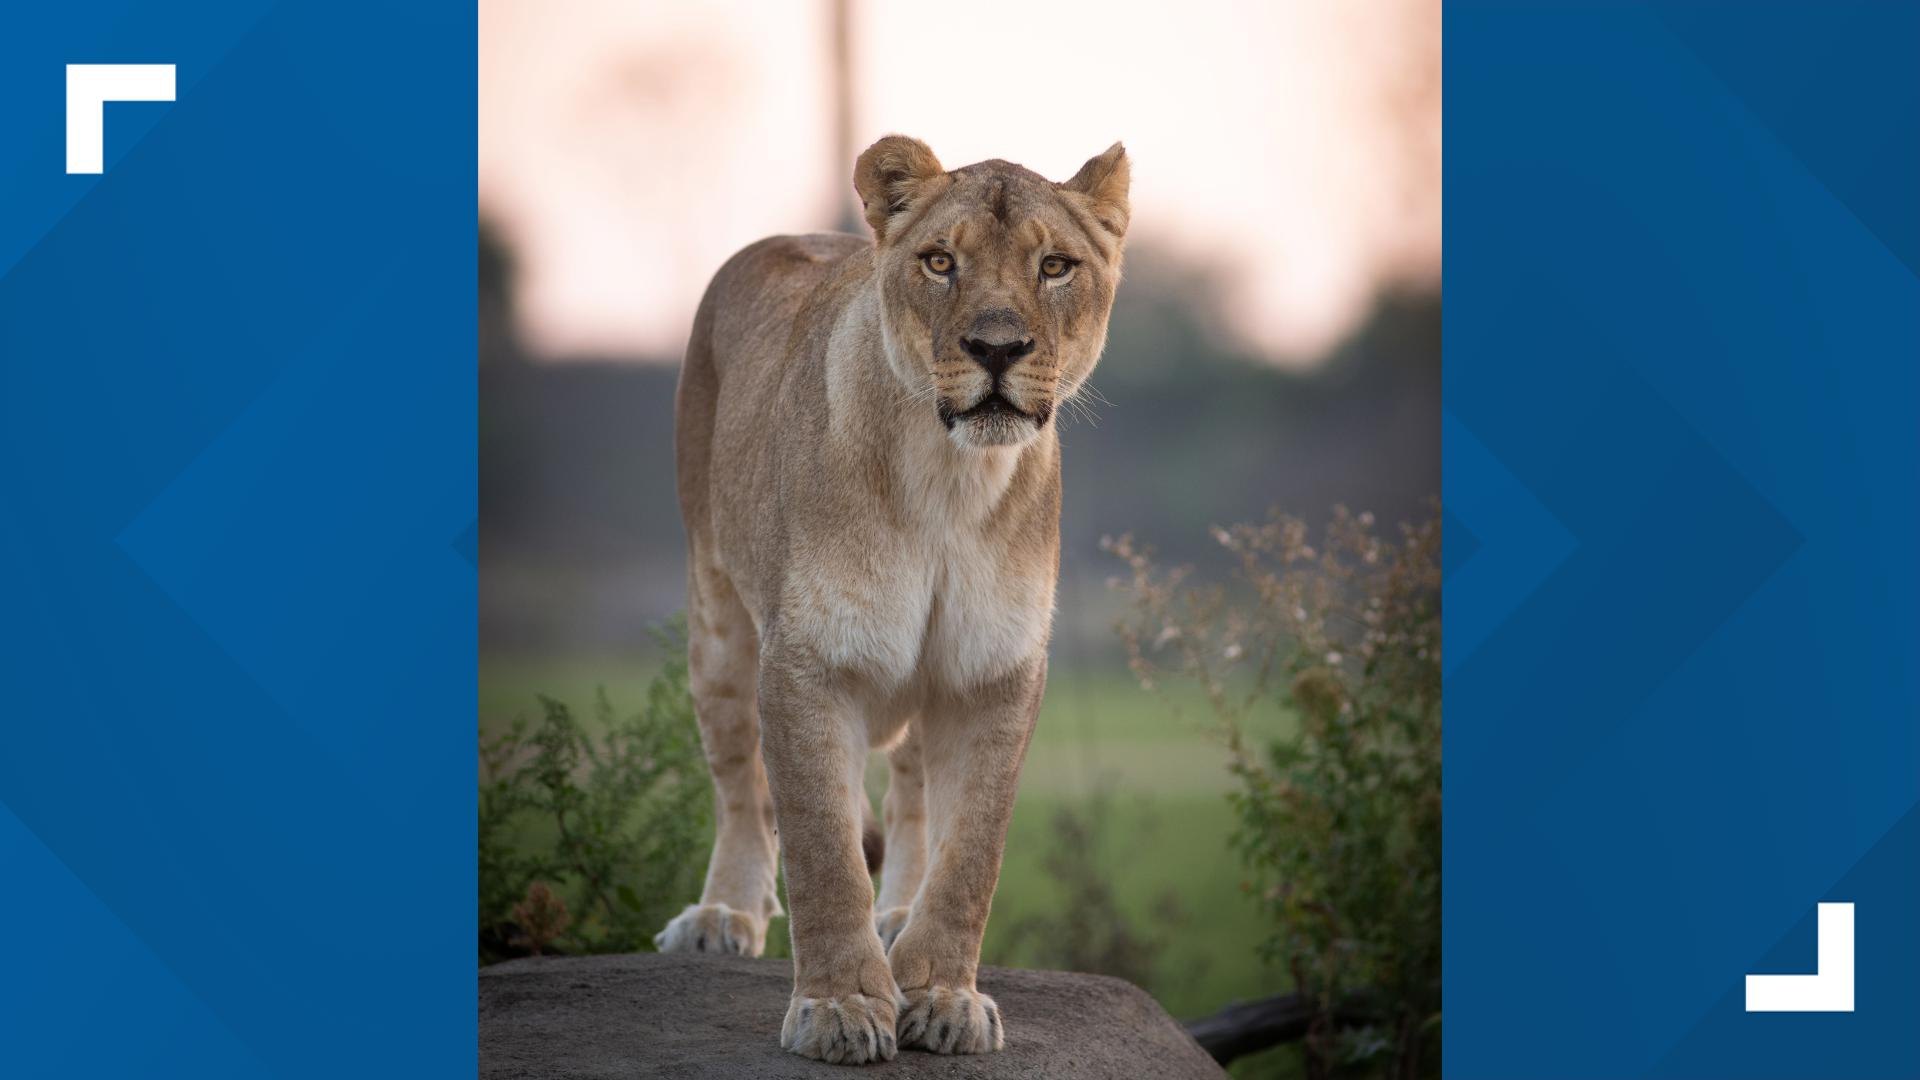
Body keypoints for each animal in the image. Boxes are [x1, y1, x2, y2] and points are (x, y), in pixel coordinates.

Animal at [654, 134, 1129, 1064]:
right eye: (940, 261)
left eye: (1055, 266)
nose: (996, 347)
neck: (951, 479)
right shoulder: (807, 662)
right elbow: (821, 848)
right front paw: (840, 1006)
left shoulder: (995, 672)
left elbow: (971, 848)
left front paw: (942, 992)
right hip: (716, 614)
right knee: (738, 784)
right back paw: (724, 912)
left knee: (910, 793)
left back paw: (901, 918)